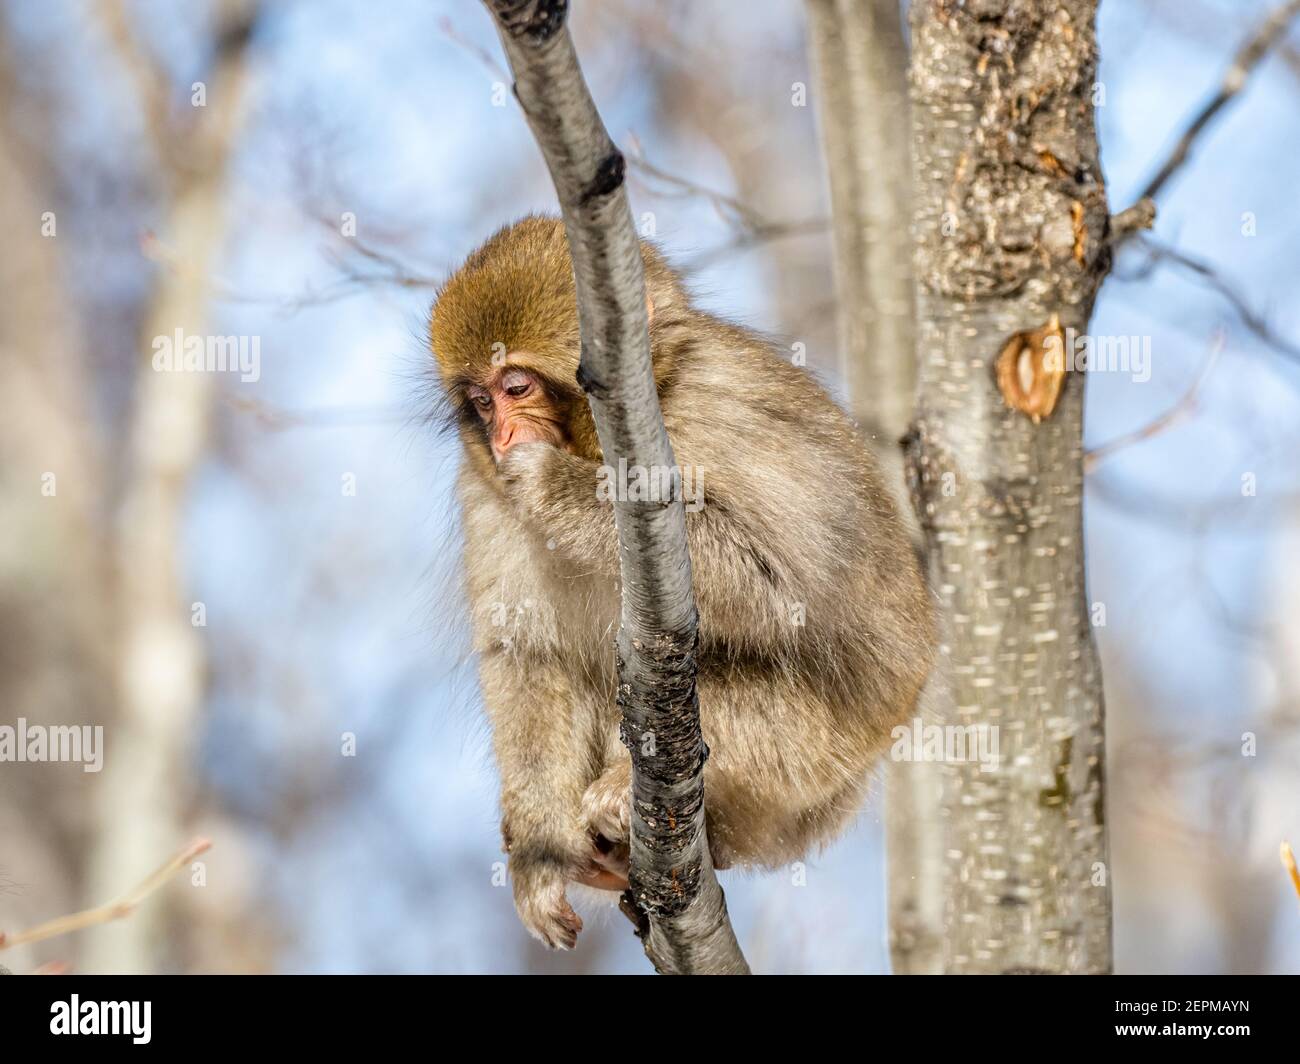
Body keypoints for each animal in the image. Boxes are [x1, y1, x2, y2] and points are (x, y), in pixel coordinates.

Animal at [429, 215, 936, 950]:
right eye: (479, 400)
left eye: (516, 387)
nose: (501, 436)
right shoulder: (486, 491)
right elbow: (526, 654)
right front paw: (540, 857)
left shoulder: (712, 418)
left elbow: (781, 589)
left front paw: (557, 487)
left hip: (816, 753)